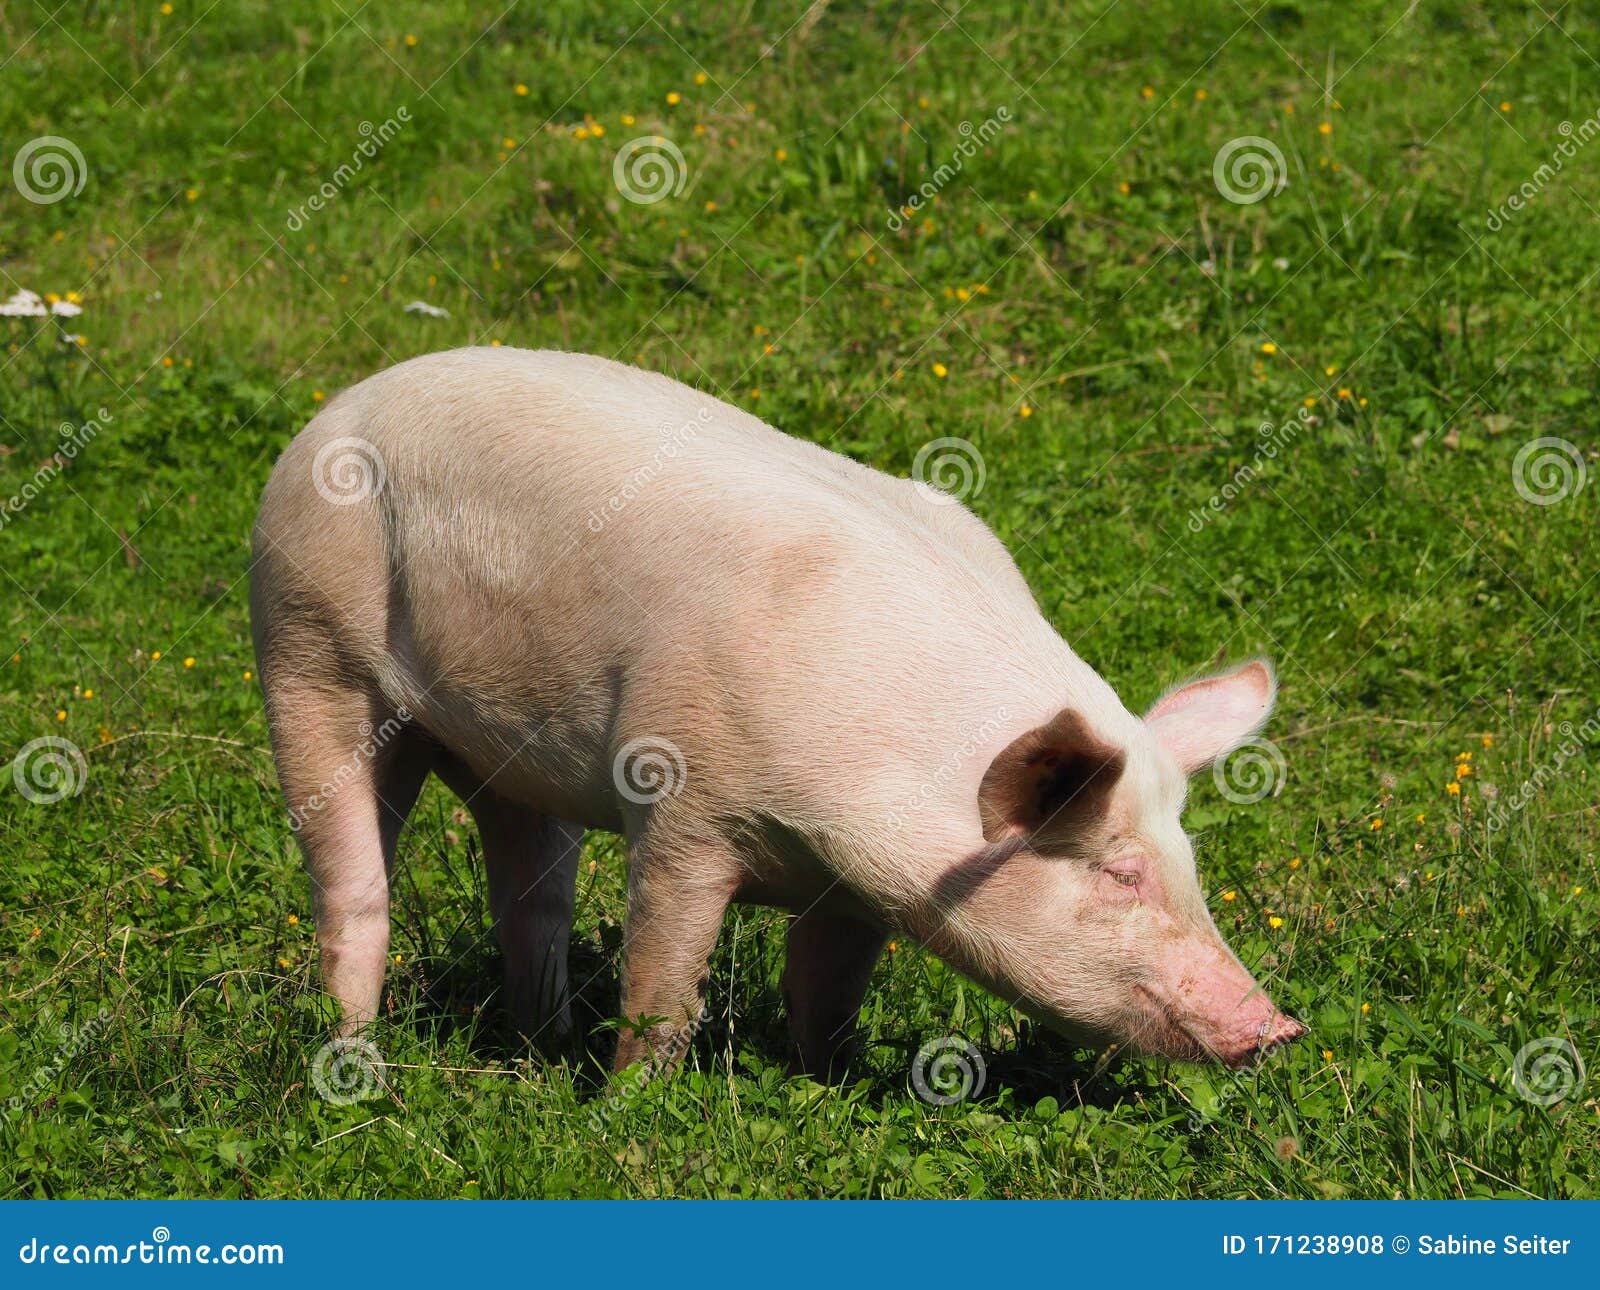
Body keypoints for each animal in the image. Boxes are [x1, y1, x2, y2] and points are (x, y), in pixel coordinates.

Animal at [250, 346, 1305, 1078]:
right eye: (1118, 871)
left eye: (1188, 861)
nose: (1278, 1026)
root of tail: (338, 404)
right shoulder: (679, 794)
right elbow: (665, 984)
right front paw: (625, 1106)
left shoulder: (864, 887)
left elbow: (825, 991)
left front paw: (828, 1083)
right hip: (305, 641)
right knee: (355, 885)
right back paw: (353, 1060)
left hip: (511, 748)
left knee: (532, 896)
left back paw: (542, 1050)